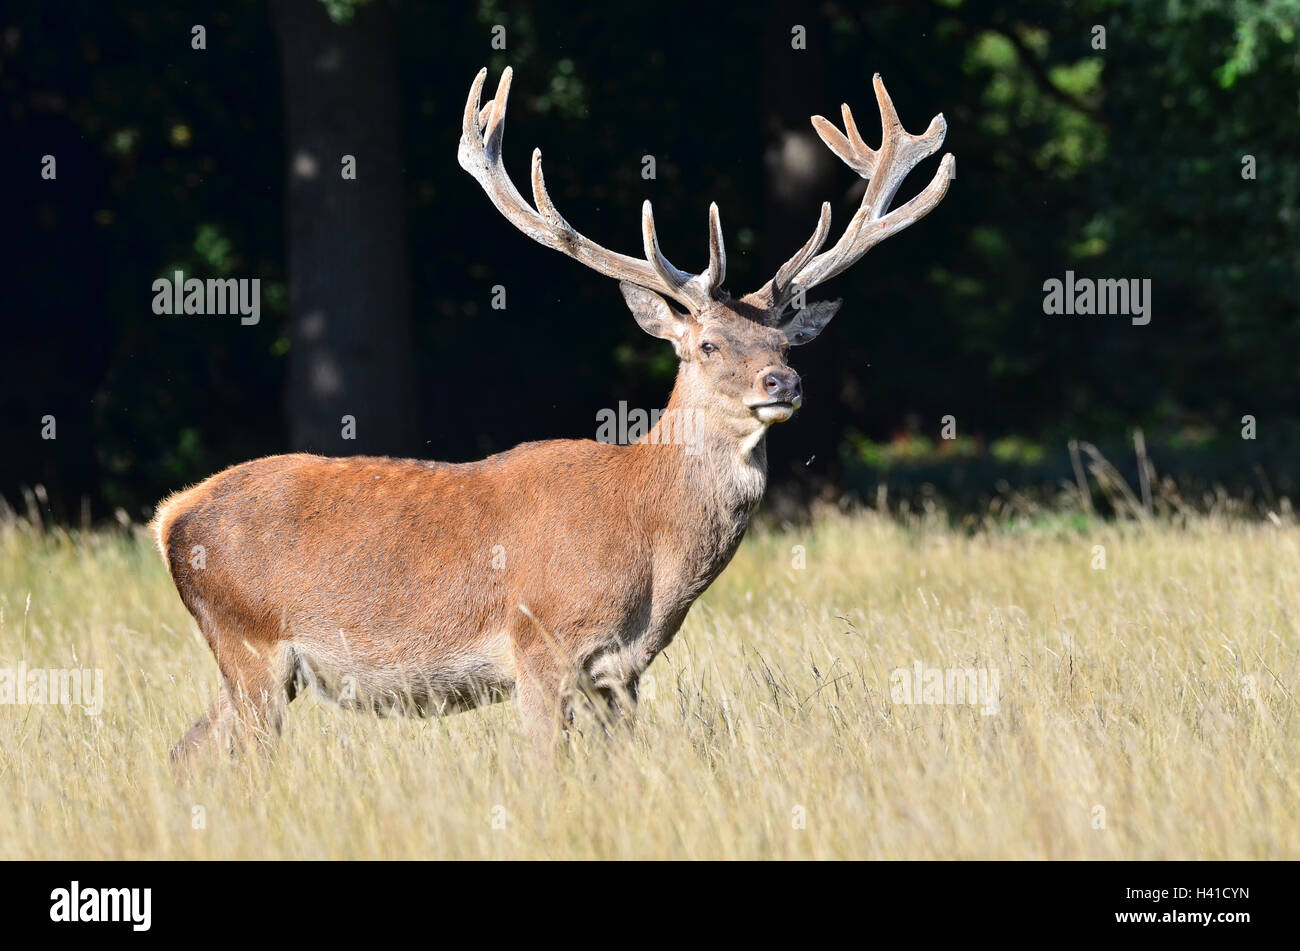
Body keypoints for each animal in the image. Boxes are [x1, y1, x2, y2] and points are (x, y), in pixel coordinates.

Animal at [153, 66, 954, 761]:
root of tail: (171, 515)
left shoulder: (620, 674)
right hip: (250, 641)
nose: (782, 382)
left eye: (786, 341)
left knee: (186, 751)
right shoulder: (540, 644)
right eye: (707, 343)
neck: (651, 547)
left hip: (250, 664)